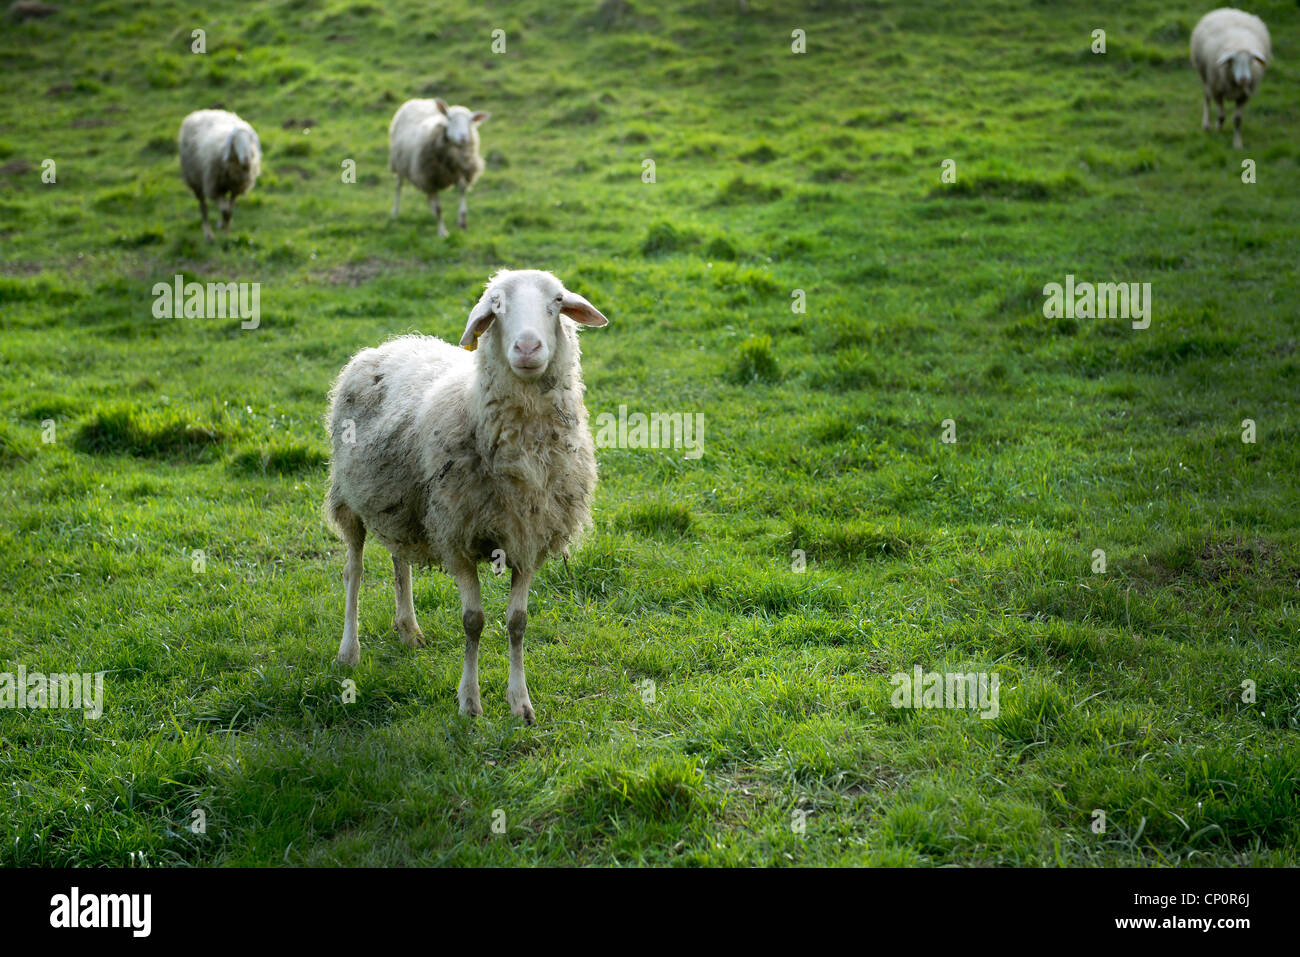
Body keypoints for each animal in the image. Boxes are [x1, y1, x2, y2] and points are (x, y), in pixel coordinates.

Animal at [178, 109, 262, 241]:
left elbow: (229, 211)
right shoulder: (213, 187)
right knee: (204, 207)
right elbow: (225, 210)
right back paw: (208, 235)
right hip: (195, 180)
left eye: (250, 140)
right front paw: (222, 227)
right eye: (235, 142)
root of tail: (199, 112)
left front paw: (226, 231)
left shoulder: (235, 189)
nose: (246, 159)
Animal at [323, 269, 609, 723]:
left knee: (399, 560)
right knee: (354, 571)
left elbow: (518, 622)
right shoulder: (456, 537)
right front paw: (470, 703)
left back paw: (409, 630)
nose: (527, 347)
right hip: (349, 498)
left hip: (401, 503)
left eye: (557, 302)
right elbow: (473, 621)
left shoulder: (528, 539)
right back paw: (349, 652)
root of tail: (391, 343)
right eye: (496, 306)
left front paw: (520, 703)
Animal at [388, 98, 489, 236]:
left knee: (428, 197)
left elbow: (462, 191)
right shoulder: (430, 178)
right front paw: (442, 232)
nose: (463, 137)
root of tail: (416, 100)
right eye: (449, 118)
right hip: (400, 164)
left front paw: (462, 223)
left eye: (471, 120)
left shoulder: (460, 172)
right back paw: (395, 213)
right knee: (399, 187)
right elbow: (439, 208)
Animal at [1190, 8, 1271, 149]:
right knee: (1207, 98)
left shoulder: (1244, 96)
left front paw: (1237, 143)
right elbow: (1222, 115)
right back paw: (1207, 124)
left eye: (1251, 60)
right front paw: (1218, 129)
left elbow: (1238, 120)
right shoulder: (1216, 90)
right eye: (1233, 60)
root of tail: (1227, 9)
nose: (1244, 79)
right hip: (1206, 77)